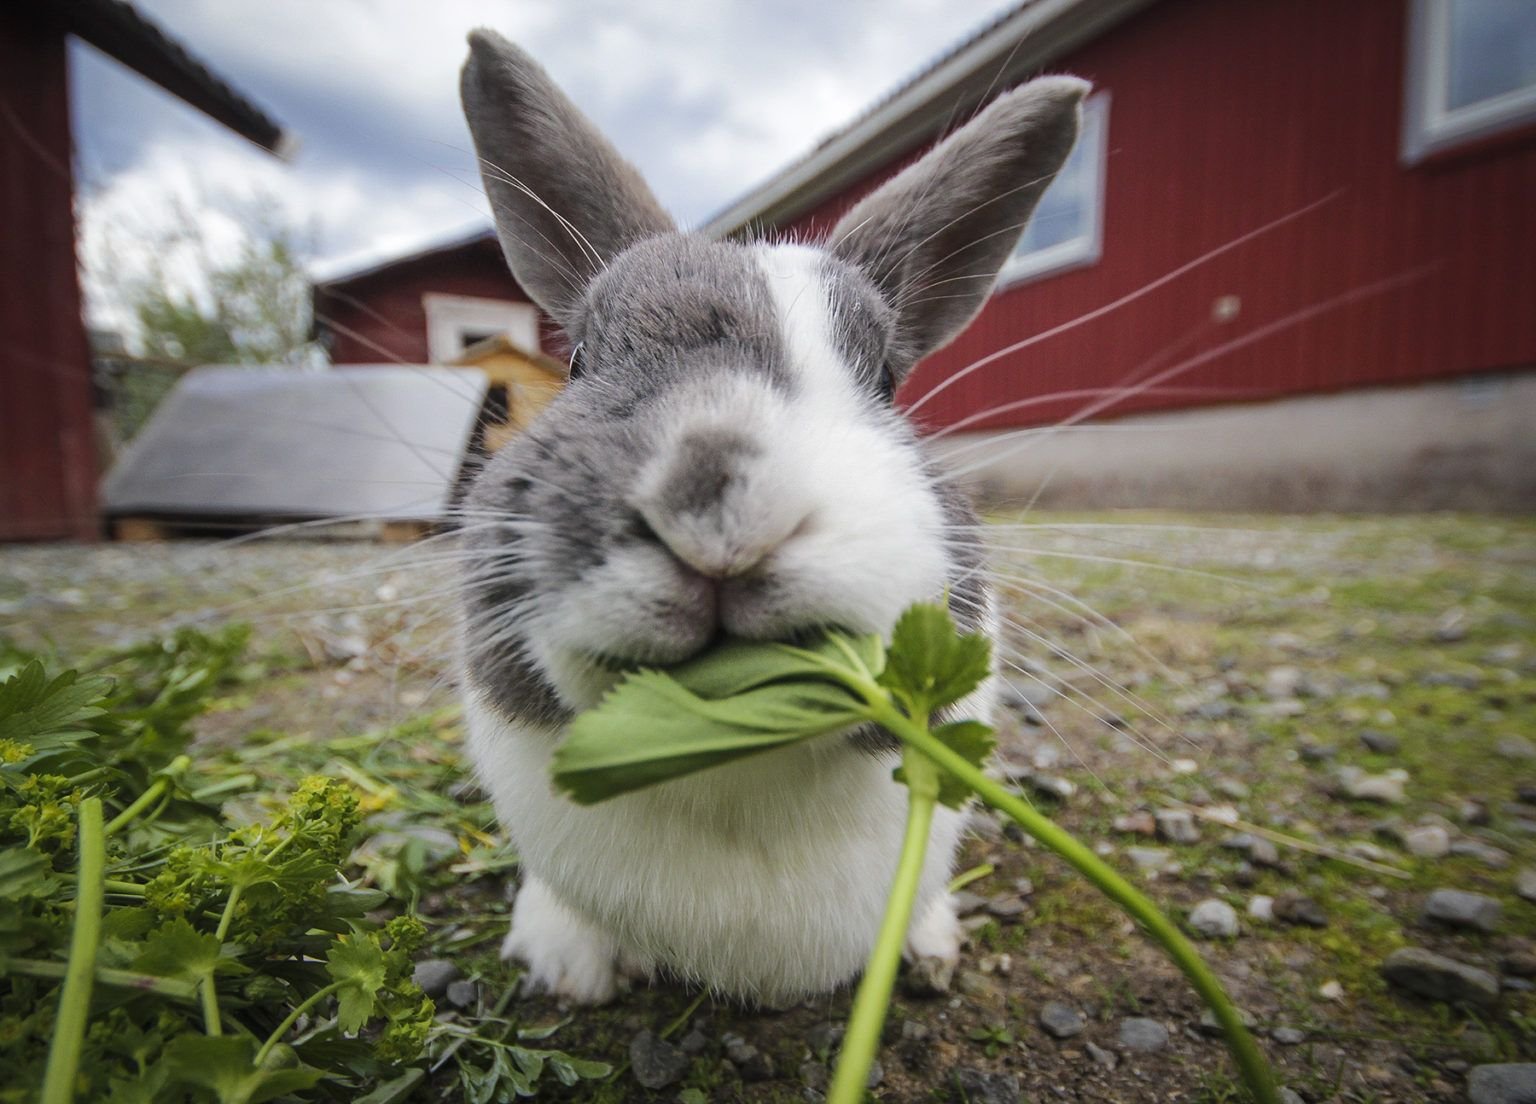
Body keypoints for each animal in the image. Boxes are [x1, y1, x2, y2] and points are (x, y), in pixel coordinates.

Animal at [451, 28, 1081, 1013]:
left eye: (886, 378)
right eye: (582, 358)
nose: (718, 496)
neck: (733, 755)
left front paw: (931, 945)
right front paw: (568, 967)